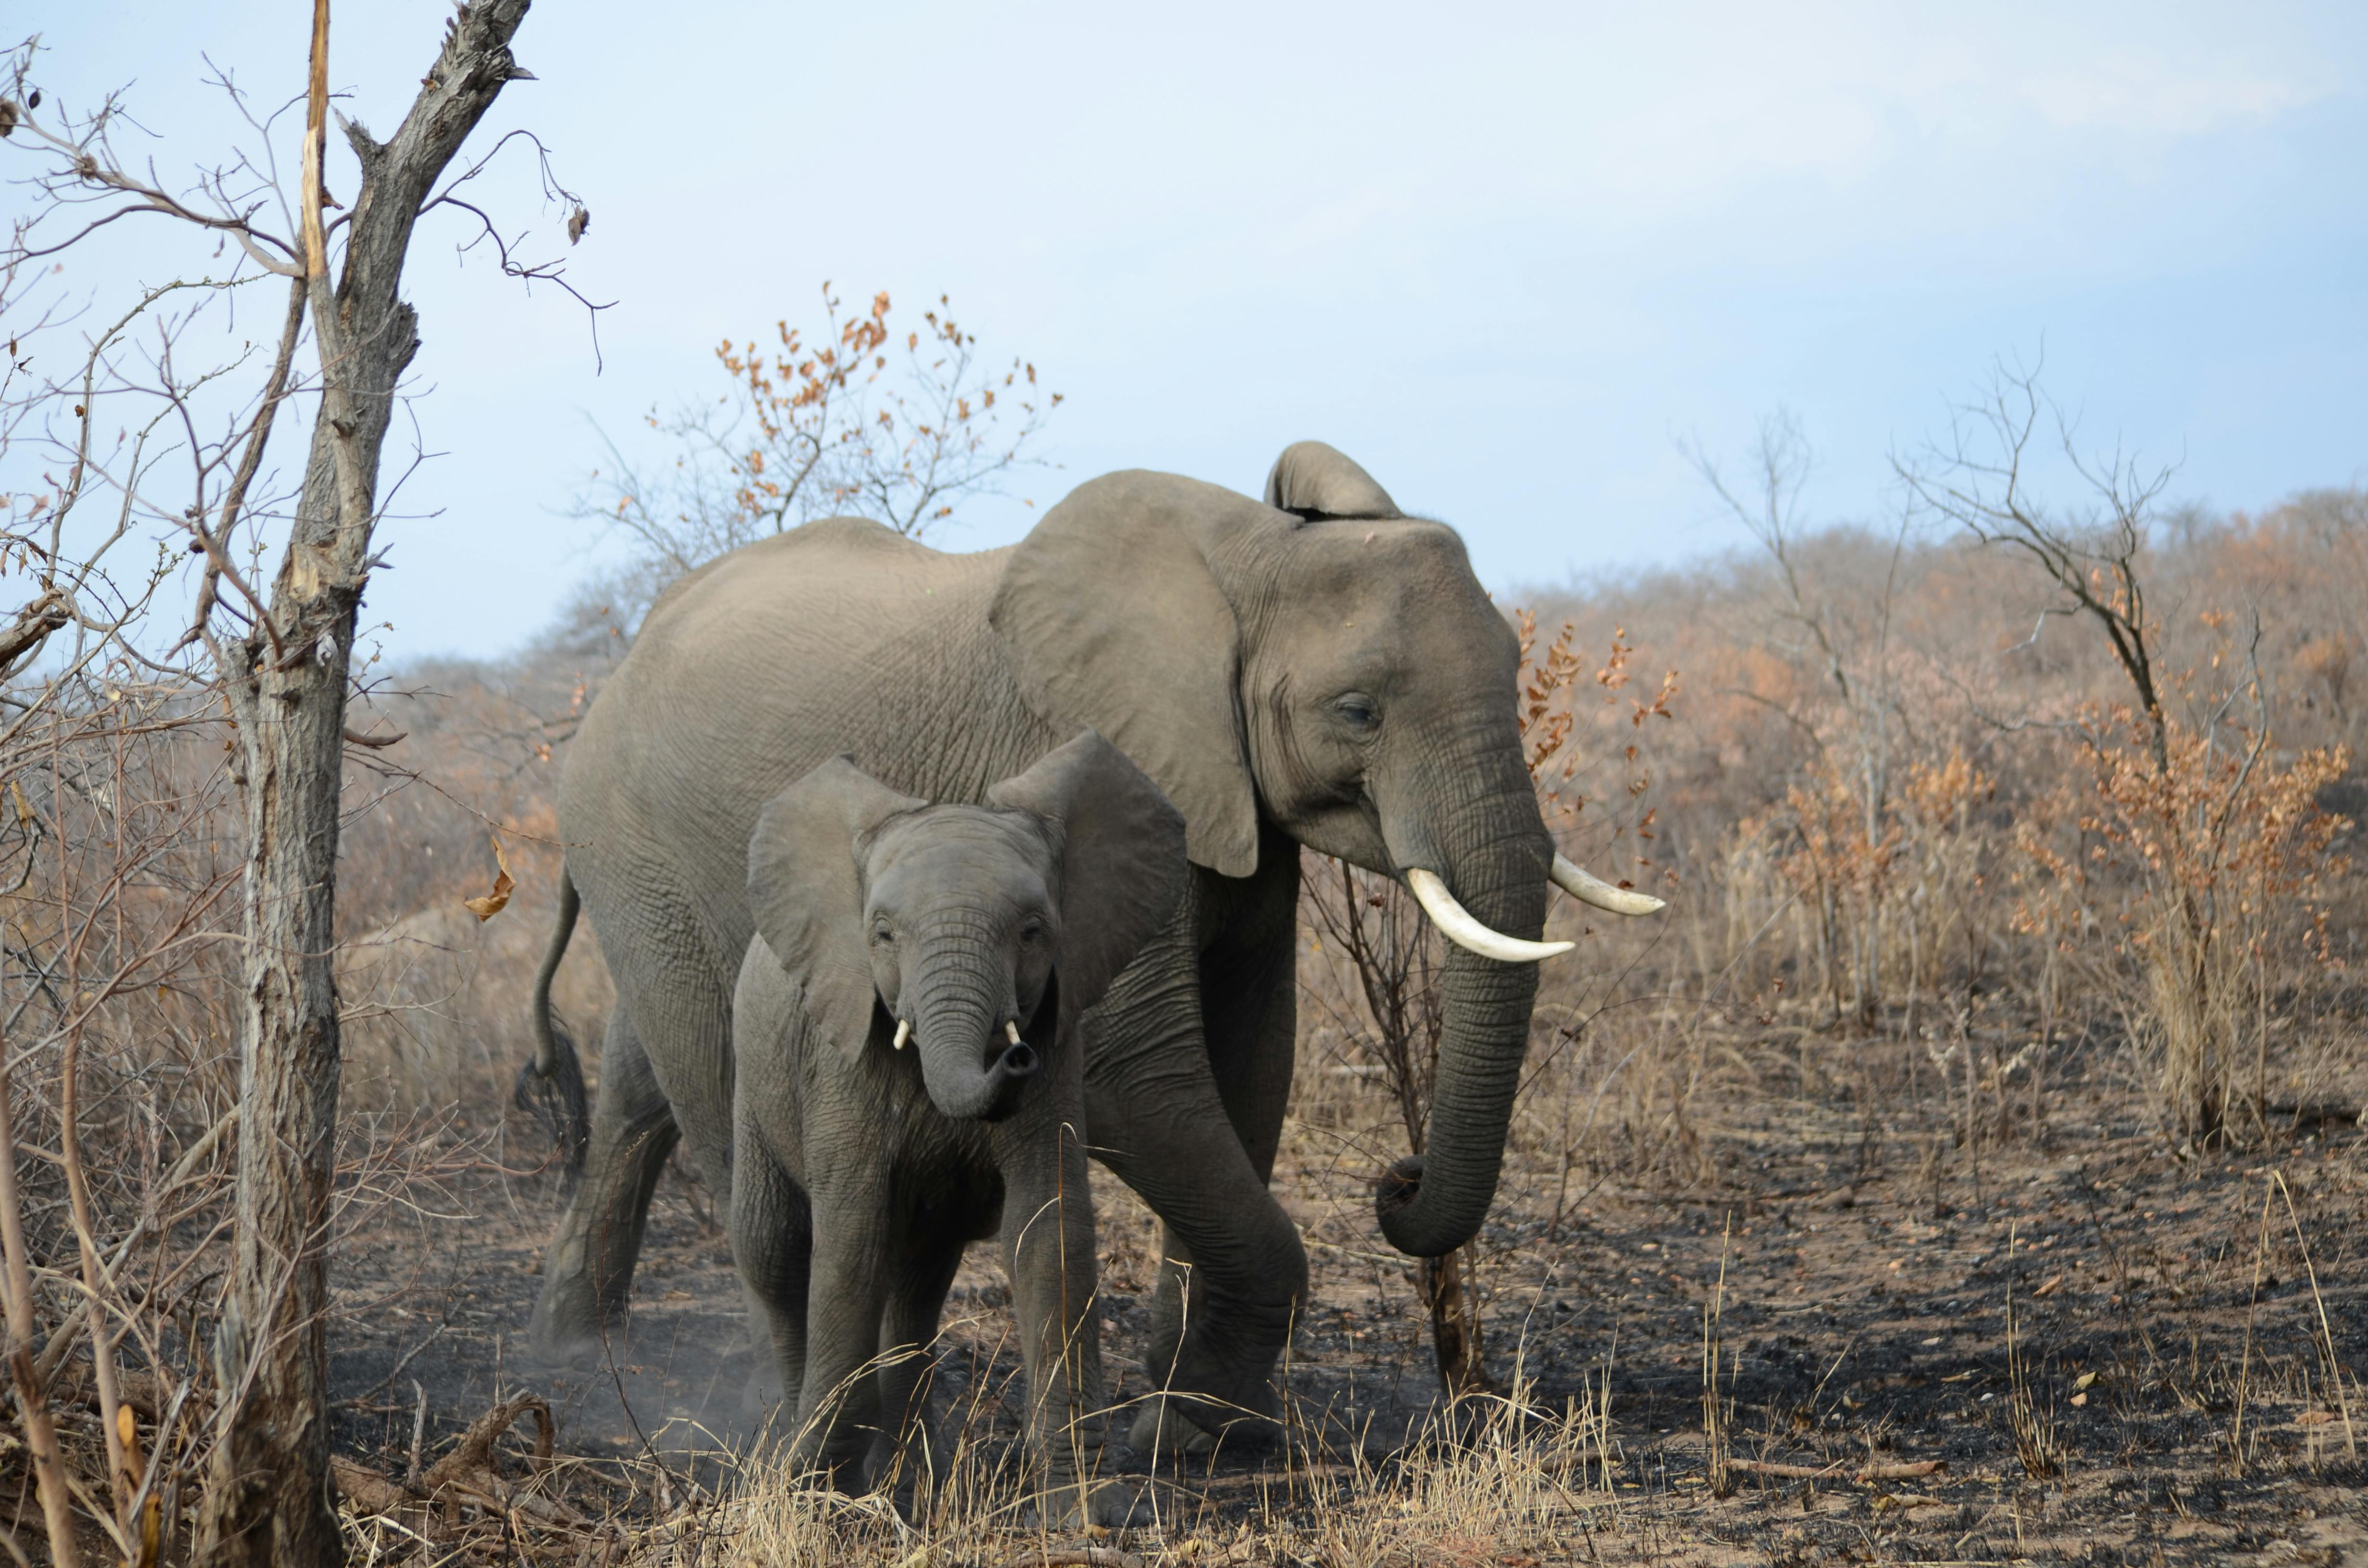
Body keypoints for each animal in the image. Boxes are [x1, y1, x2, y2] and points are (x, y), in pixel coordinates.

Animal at [730, 733, 1183, 1519]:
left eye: (1033, 933)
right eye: (882, 934)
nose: (1017, 1053)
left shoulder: (1060, 1048)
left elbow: (1050, 1230)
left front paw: (1088, 1511)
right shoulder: (842, 1055)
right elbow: (851, 1238)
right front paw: (813, 1500)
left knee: (916, 1282)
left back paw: (911, 1477)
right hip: (753, 1088)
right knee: (776, 1250)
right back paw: (799, 1450)